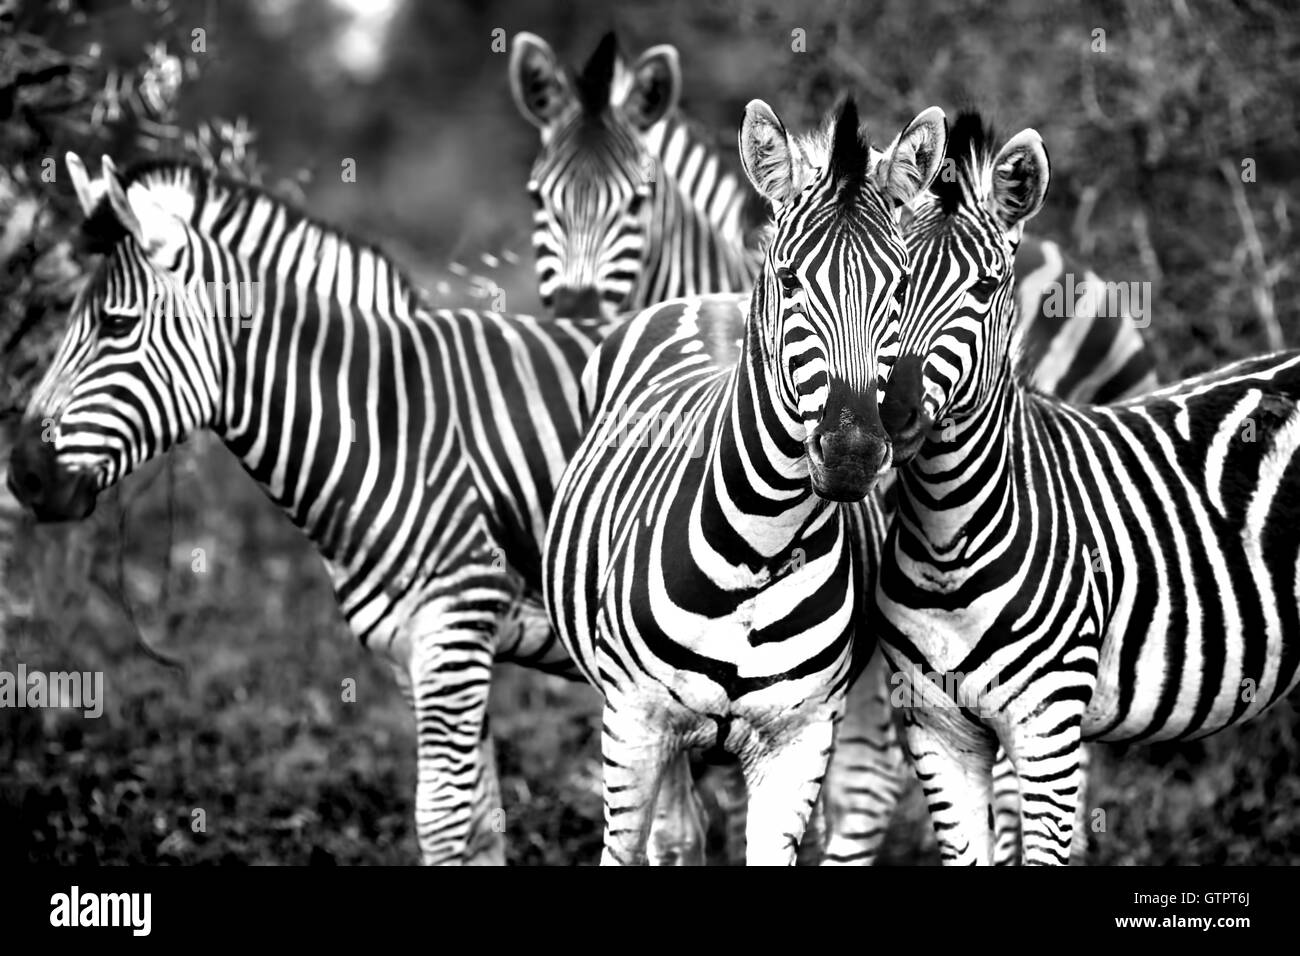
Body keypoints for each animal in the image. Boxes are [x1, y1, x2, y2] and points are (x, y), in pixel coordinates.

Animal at [5, 152, 717, 865]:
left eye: (116, 325)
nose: (24, 475)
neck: (392, 427)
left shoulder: (454, 626)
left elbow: (442, 819)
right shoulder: (419, 647)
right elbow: (483, 822)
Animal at [543, 97, 948, 865]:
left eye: (902, 287)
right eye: (789, 279)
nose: (852, 453)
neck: (757, 547)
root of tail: (712, 297)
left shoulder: (801, 737)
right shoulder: (634, 724)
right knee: (674, 834)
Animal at [876, 110, 1300, 865]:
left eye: (985, 289)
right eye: (892, 281)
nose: (893, 418)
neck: (947, 539)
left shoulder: (1049, 729)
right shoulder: (936, 732)